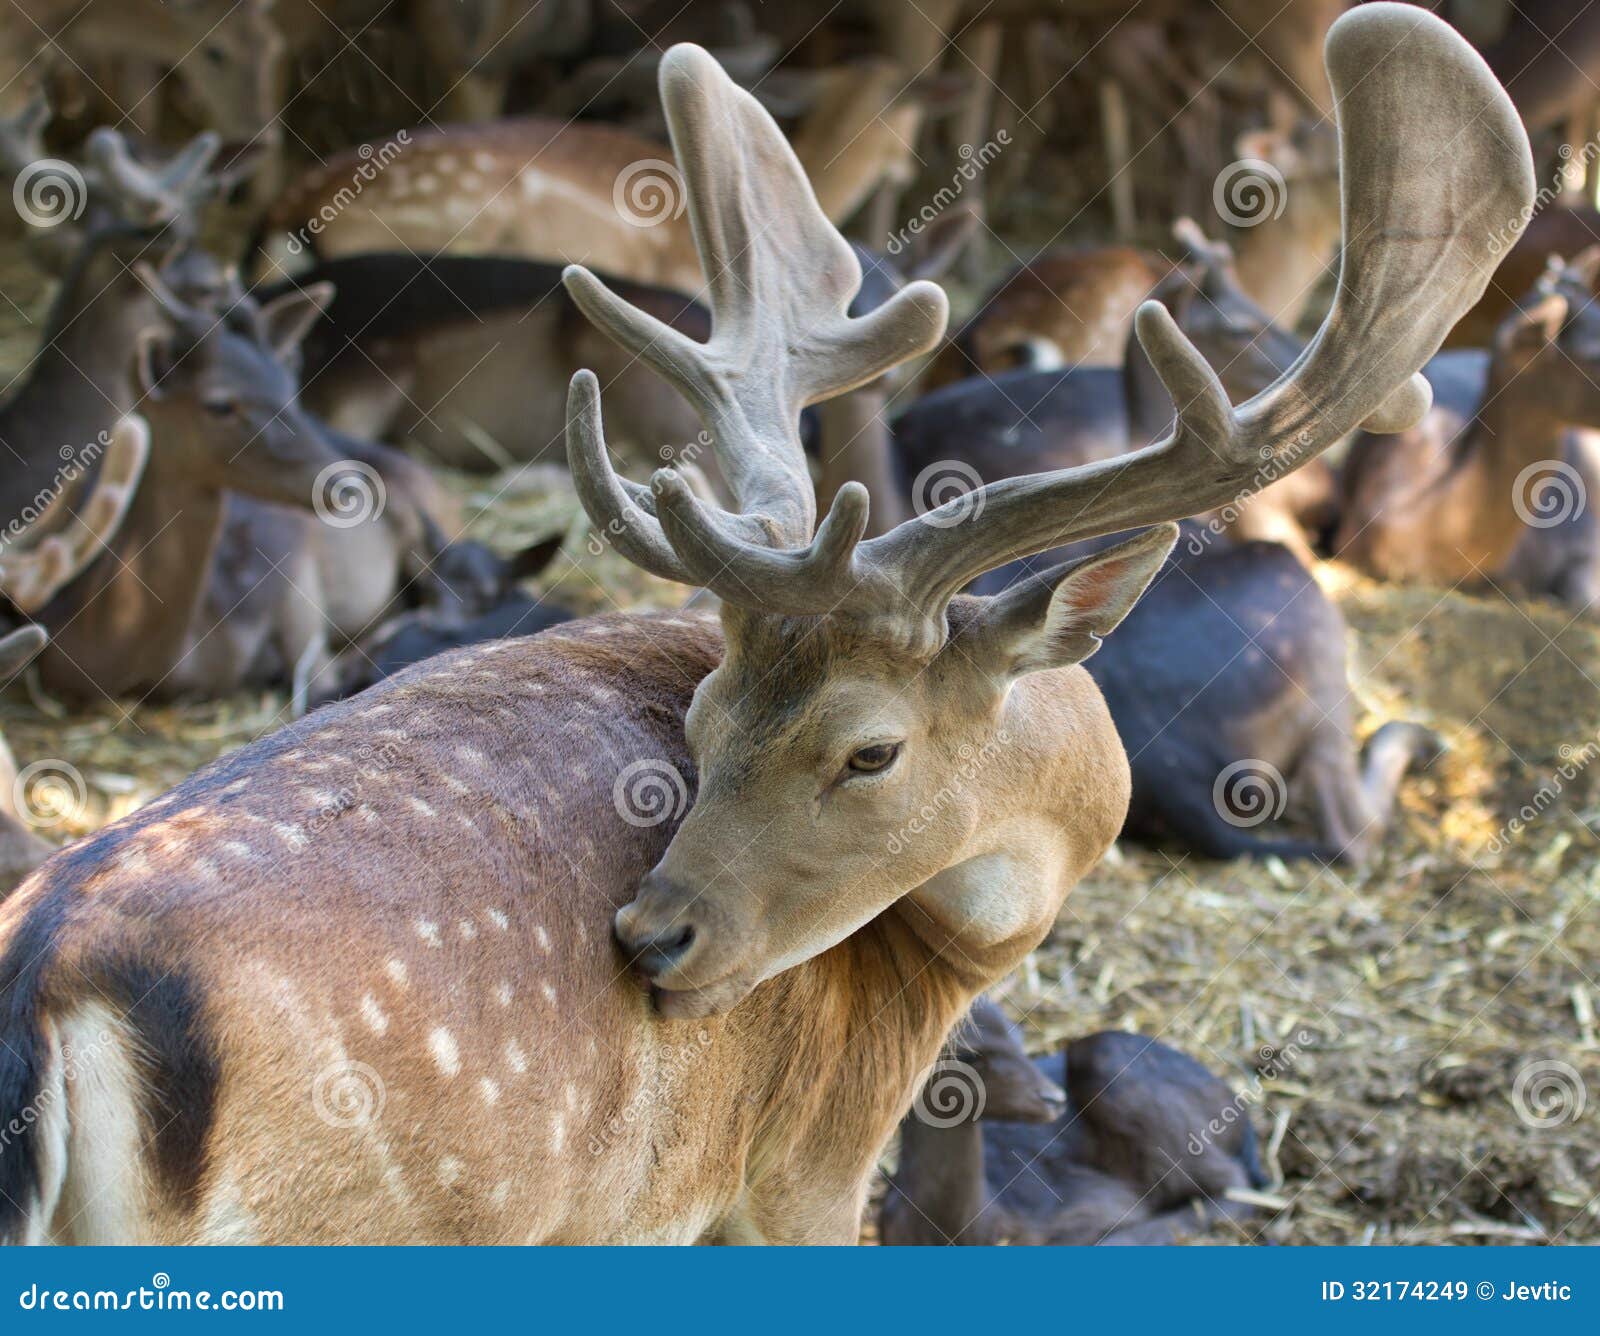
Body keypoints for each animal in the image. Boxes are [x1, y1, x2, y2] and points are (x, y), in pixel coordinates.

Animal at [882, 1022, 1267, 1246]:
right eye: (967, 1054)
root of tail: (1236, 1104)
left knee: (1235, 1184)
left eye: (1020, 1037)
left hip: (1108, 1062)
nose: (1052, 1097)